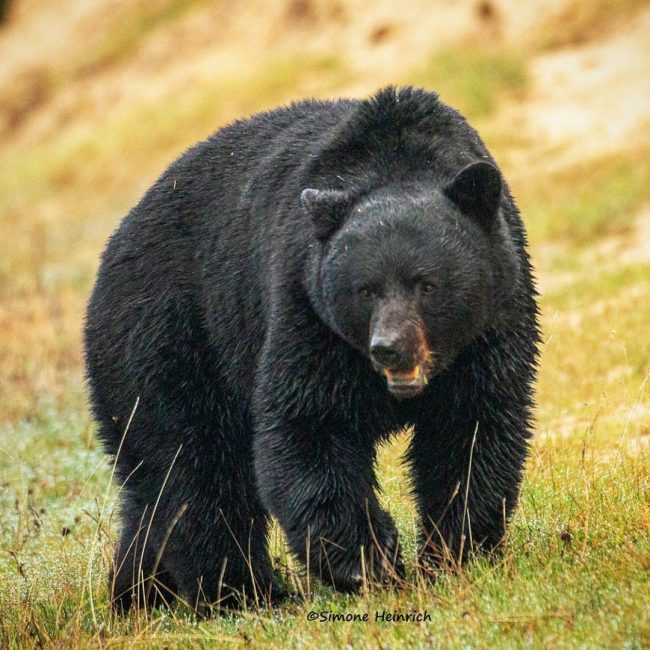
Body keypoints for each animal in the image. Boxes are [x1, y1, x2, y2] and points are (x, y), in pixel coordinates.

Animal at [84, 86, 539, 614]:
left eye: (427, 284)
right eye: (365, 289)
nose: (388, 348)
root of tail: (107, 261)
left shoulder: (491, 323)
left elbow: (471, 428)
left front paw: (456, 552)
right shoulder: (306, 310)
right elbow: (309, 426)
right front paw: (368, 560)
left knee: (154, 494)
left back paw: (137, 591)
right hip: (167, 344)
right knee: (194, 471)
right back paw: (242, 593)